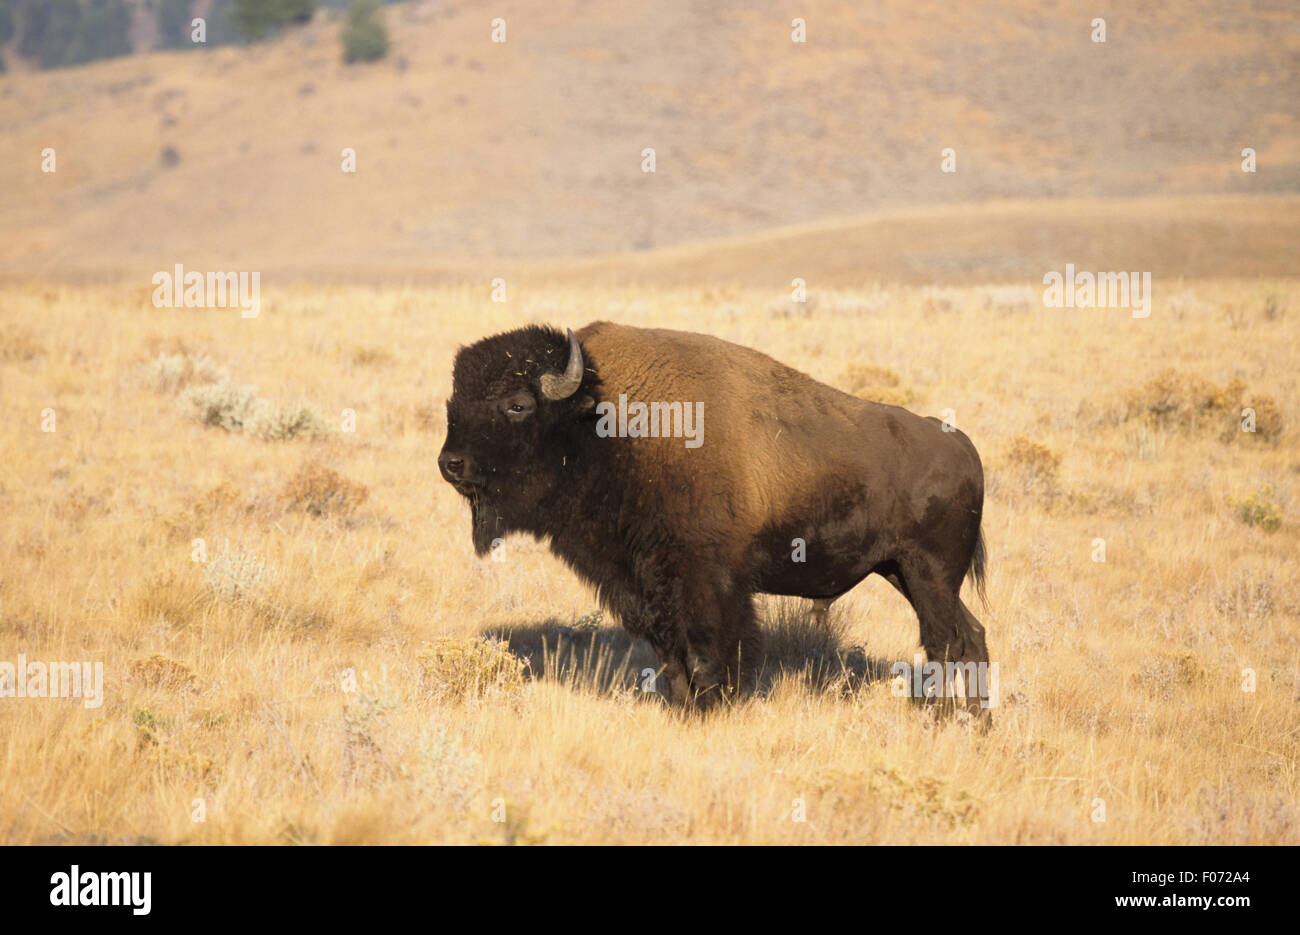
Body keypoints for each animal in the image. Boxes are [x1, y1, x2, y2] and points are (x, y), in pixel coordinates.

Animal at [439, 322, 990, 714]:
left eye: (517, 404)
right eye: (453, 402)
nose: (450, 463)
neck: (604, 425)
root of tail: (962, 446)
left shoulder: (709, 582)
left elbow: (711, 653)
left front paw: (713, 707)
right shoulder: (646, 585)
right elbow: (671, 657)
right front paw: (683, 709)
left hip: (927, 571)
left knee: (944, 640)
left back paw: (944, 720)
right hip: (903, 571)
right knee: (971, 635)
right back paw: (976, 722)